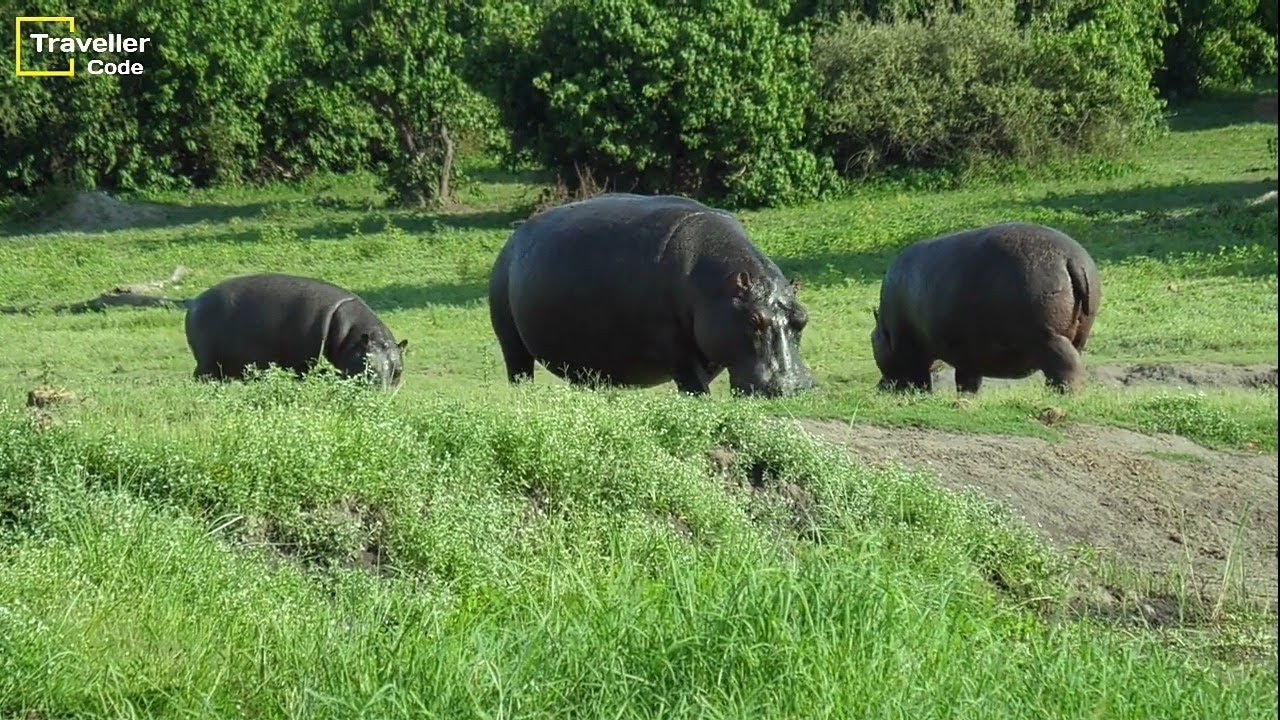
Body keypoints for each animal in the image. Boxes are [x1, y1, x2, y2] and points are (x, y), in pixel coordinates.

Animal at [184, 273, 407, 388]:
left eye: (398, 371)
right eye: (367, 366)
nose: (381, 398)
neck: (350, 338)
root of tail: (194, 301)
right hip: (207, 361)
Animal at [487, 193, 816, 397]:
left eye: (802, 318)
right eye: (755, 319)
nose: (795, 386)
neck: (717, 286)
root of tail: (513, 238)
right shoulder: (674, 345)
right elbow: (694, 385)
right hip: (511, 343)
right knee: (519, 373)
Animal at [871, 221, 1101, 394]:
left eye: (872, 337)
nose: (879, 387)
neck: (884, 326)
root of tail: (1072, 259)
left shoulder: (910, 347)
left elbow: (919, 378)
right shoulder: (967, 352)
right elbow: (967, 380)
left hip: (1049, 338)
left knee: (1067, 369)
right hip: (1079, 336)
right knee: (1073, 363)